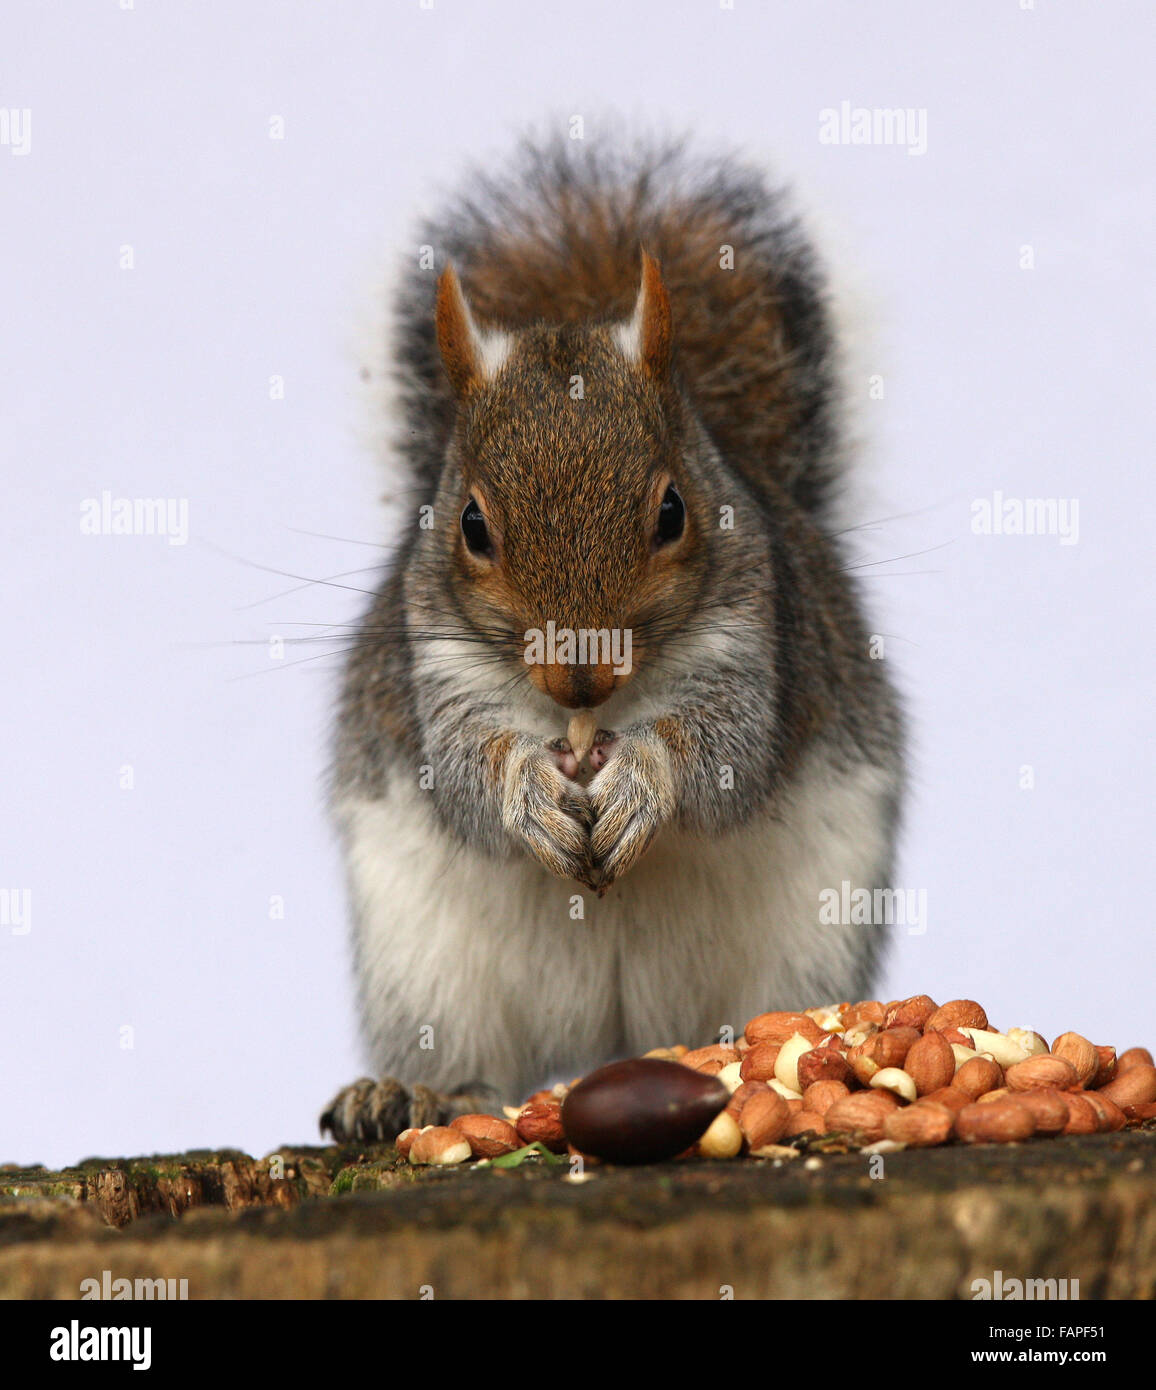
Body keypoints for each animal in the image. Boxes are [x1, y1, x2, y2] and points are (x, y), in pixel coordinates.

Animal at [320, 136, 905, 1142]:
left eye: (672, 511)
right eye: (471, 525)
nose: (578, 682)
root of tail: (614, 1037)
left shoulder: (754, 644)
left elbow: (723, 755)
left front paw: (641, 778)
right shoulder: (436, 663)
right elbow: (467, 774)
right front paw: (526, 789)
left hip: (810, 935)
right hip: (425, 963)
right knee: (470, 1062)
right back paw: (415, 1095)